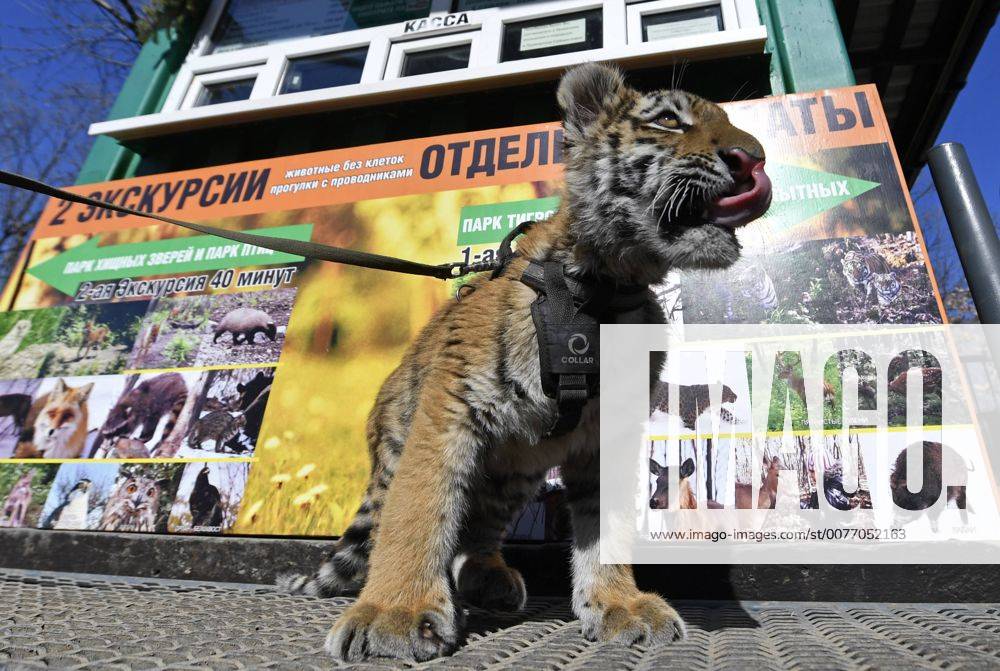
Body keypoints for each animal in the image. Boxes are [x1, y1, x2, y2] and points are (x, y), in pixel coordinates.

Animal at [281, 63, 771, 662]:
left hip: (516, 467)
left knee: (477, 532)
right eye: (668, 121)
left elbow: (605, 523)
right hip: (407, 444)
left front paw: (619, 605)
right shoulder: (449, 408)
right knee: (397, 515)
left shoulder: (607, 433)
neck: (610, 285)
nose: (754, 159)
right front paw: (395, 614)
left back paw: (487, 579)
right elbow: (418, 509)